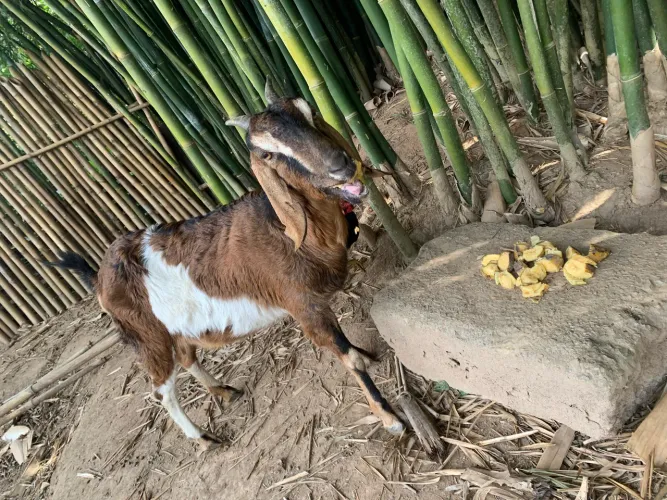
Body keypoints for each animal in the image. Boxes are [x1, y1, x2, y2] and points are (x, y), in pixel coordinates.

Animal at [50, 82, 404, 450]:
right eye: (267, 154)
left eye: (310, 111)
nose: (341, 166)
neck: (289, 231)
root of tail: (100, 275)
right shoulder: (302, 305)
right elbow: (348, 357)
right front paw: (390, 419)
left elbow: (347, 346)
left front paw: (369, 355)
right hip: (148, 338)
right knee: (162, 390)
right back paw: (204, 437)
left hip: (177, 329)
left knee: (187, 358)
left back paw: (223, 390)